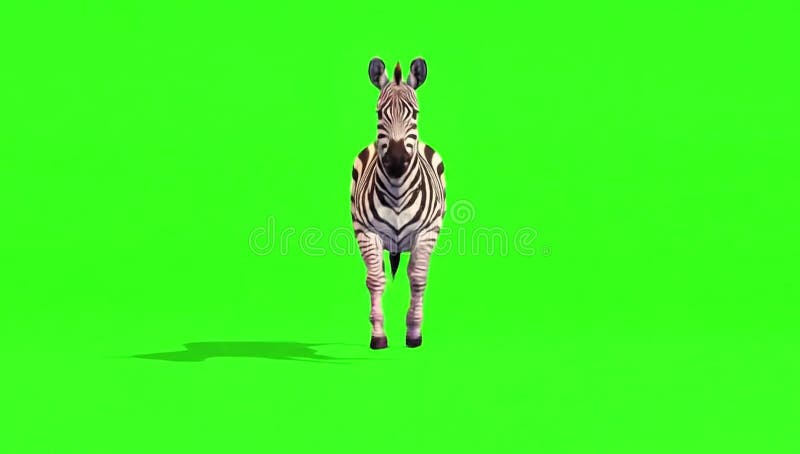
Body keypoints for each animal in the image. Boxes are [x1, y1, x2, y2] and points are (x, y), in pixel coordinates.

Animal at [350, 57, 446, 350]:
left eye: (414, 113)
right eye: (379, 113)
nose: (395, 162)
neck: (397, 192)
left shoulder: (426, 232)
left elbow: (417, 279)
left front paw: (414, 333)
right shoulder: (366, 232)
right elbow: (375, 280)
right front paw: (378, 335)